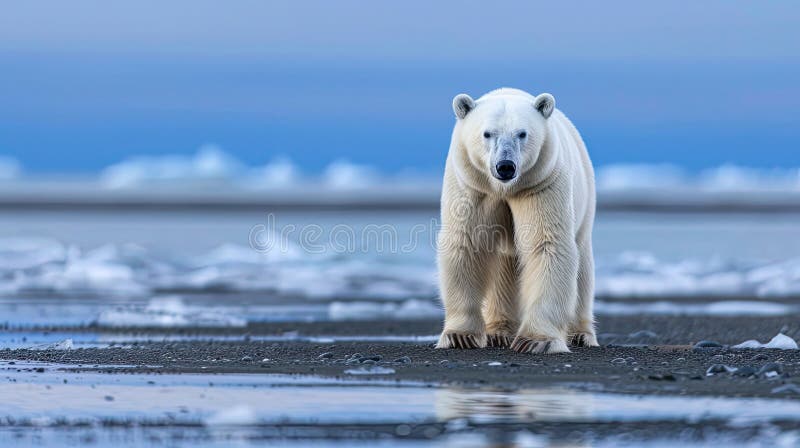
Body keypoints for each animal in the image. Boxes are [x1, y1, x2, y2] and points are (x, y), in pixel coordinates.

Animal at [435, 87, 597, 354]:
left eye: (522, 133)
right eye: (487, 133)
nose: (505, 166)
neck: (506, 189)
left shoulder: (540, 184)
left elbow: (547, 244)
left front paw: (536, 341)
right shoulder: (473, 187)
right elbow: (467, 243)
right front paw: (460, 336)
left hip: (584, 199)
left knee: (582, 268)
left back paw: (581, 335)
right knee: (504, 266)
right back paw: (499, 331)